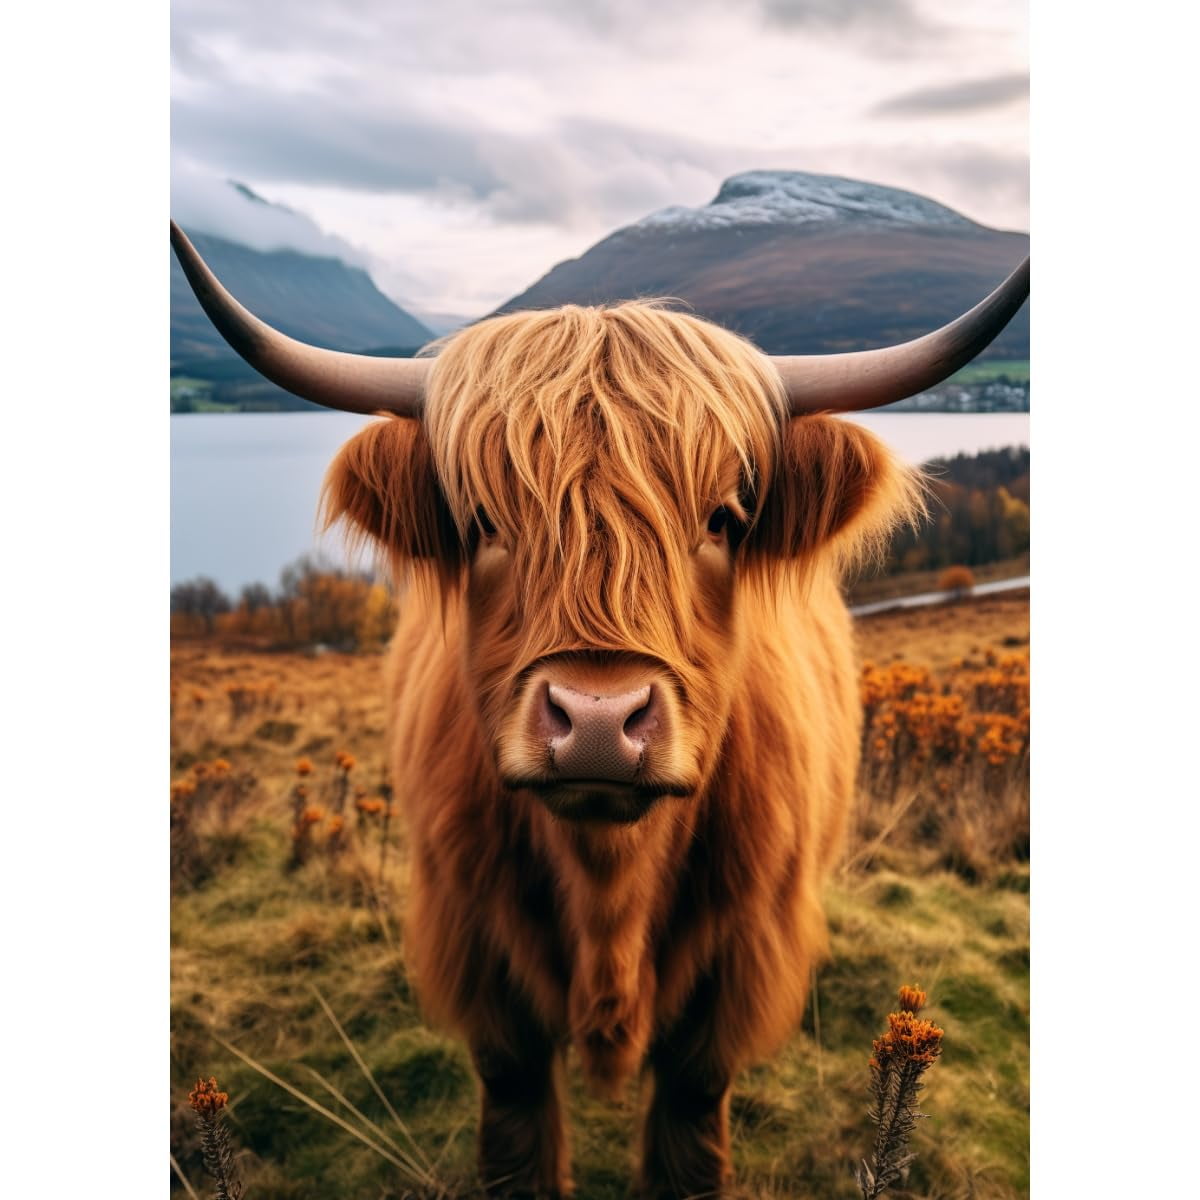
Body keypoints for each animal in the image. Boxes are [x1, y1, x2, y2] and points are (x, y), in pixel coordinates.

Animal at [171, 222, 1028, 1199]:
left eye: (725, 518)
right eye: (482, 520)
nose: (595, 723)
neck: (608, 882)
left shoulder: (736, 968)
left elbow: (689, 1124)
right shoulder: (481, 960)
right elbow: (516, 1122)